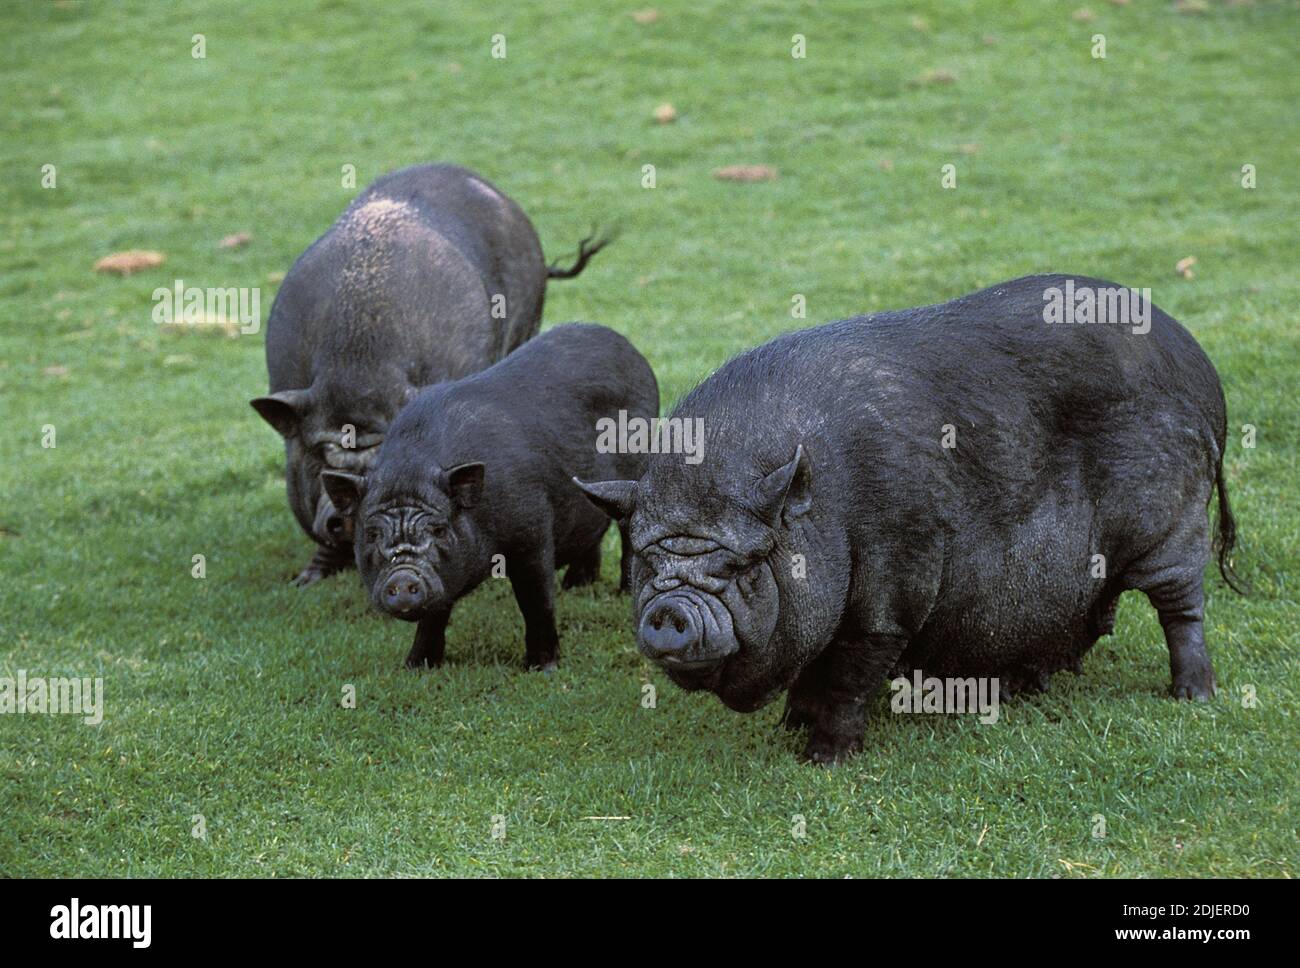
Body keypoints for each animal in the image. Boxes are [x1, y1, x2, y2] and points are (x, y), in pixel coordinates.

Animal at [321, 323, 659, 670]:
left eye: (438, 529)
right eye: (372, 533)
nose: (402, 577)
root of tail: (629, 349)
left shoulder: (532, 528)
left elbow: (535, 600)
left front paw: (543, 668)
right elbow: (434, 616)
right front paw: (415, 666)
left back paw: (621, 592)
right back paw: (576, 586)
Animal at [576, 274, 1244, 764]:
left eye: (744, 565)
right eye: (647, 559)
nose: (670, 608)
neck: (831, 512)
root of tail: (1201, 367)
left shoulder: (890, 597)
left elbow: (846, 680)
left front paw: (823, 758)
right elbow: (810, 673)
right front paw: (787, 730)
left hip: (1173, 526)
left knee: (1182, 606)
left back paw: (1192, 695)